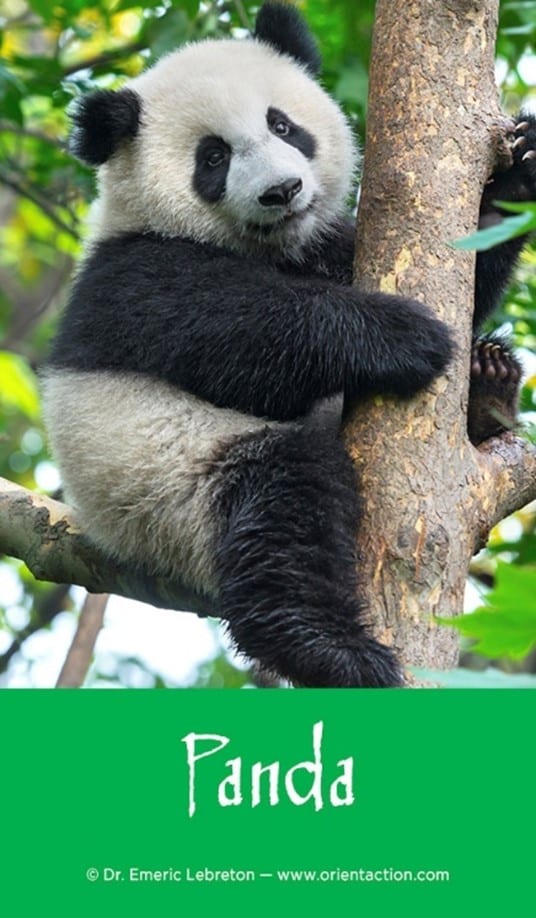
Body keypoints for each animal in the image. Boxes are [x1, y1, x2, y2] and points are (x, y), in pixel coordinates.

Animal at [42, 2, 536, 688]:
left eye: (282, 124)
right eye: (214, 157)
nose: (282, 191)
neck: (270, 247)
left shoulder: (326, 245)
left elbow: (467, 268)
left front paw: (519, 171)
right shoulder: (134, 277)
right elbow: (243, 336)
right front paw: (405, 337)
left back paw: (489, 386)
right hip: (170, 487)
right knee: (281, 510)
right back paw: (333, 650)